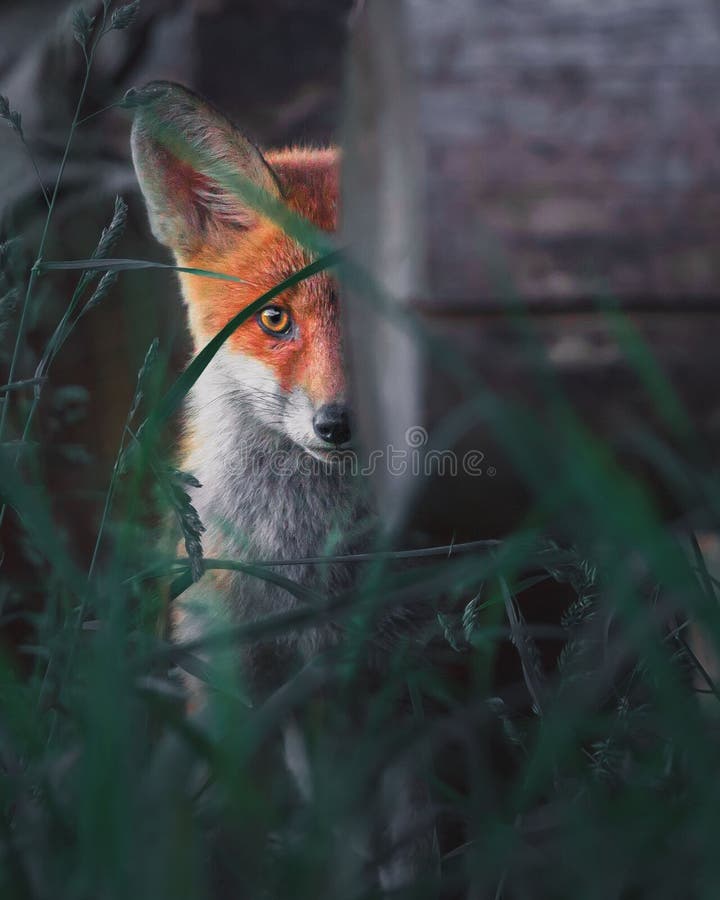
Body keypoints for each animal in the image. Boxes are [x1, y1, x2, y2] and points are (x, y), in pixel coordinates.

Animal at [131, 82, 437, 891]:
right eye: (275, 320)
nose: (339, 424)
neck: (305, 560)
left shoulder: (416, 671)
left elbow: (417, 852)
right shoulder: (233, 683)